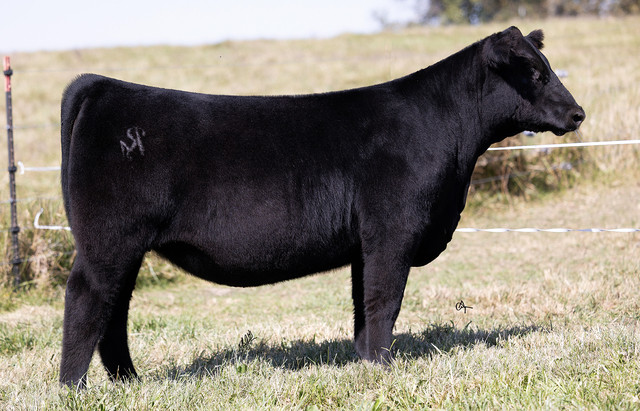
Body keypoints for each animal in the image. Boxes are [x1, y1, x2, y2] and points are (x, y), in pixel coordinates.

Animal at [59, 26, 584, 387]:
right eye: (535, 73)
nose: (578, 113)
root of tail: (102, 85)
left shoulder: (364, 242)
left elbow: (362, 305)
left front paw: (366, 362)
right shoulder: (393, 230)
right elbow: (384, 300)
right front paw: (383, 367)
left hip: (123, 248)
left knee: (115, 308)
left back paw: (128, 381)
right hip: (108, 240)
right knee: (88, 300)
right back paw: (74, 387)